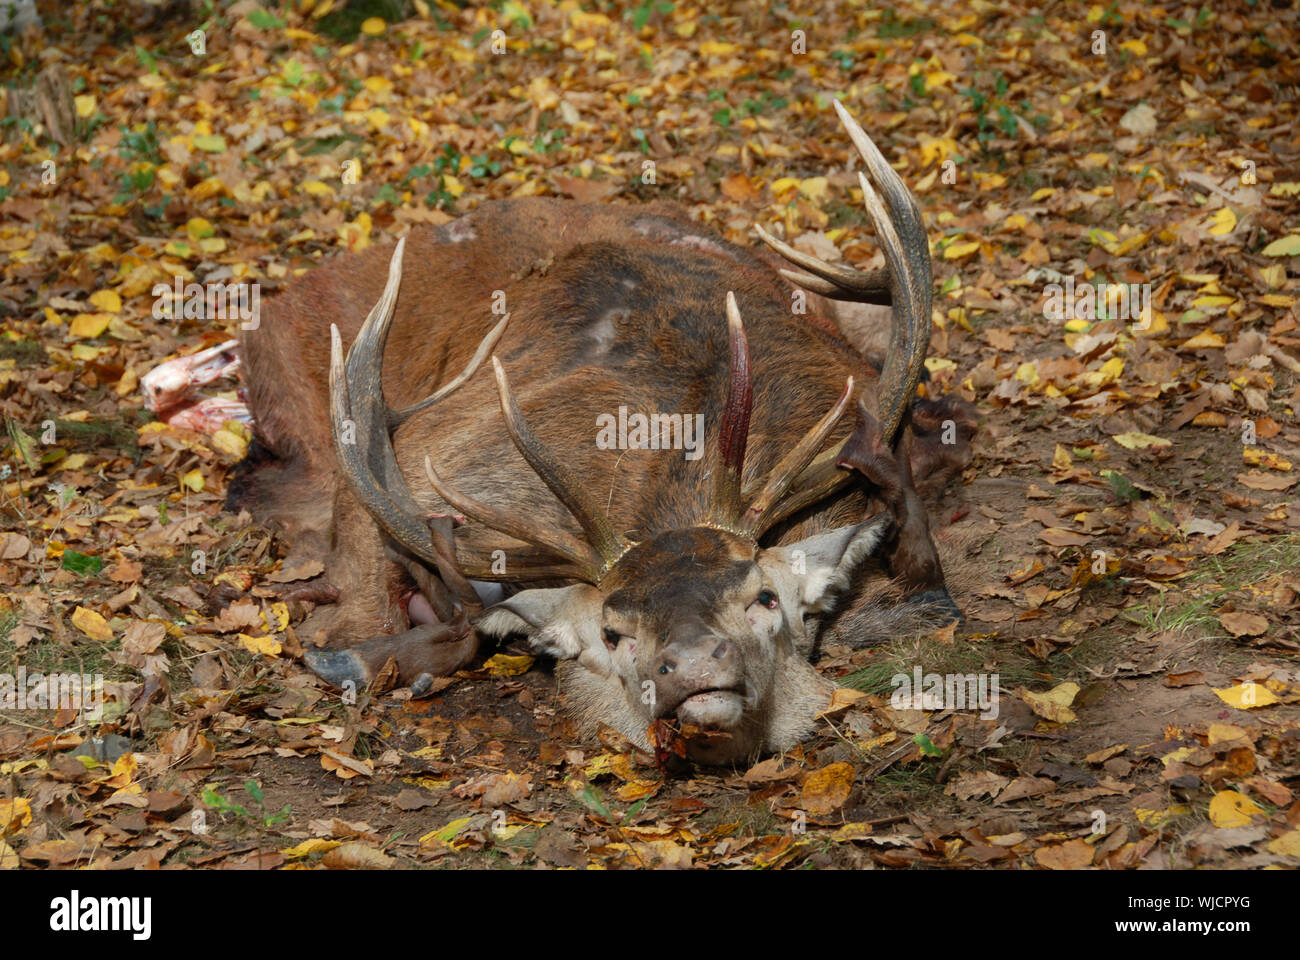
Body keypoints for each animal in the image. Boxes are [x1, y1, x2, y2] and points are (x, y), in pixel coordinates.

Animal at [227, 101, 975, 764]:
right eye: (615, 633)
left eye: (765, 598)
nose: (693, 662)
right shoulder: (418, 460)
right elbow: (369, 612)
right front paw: (356, 656)